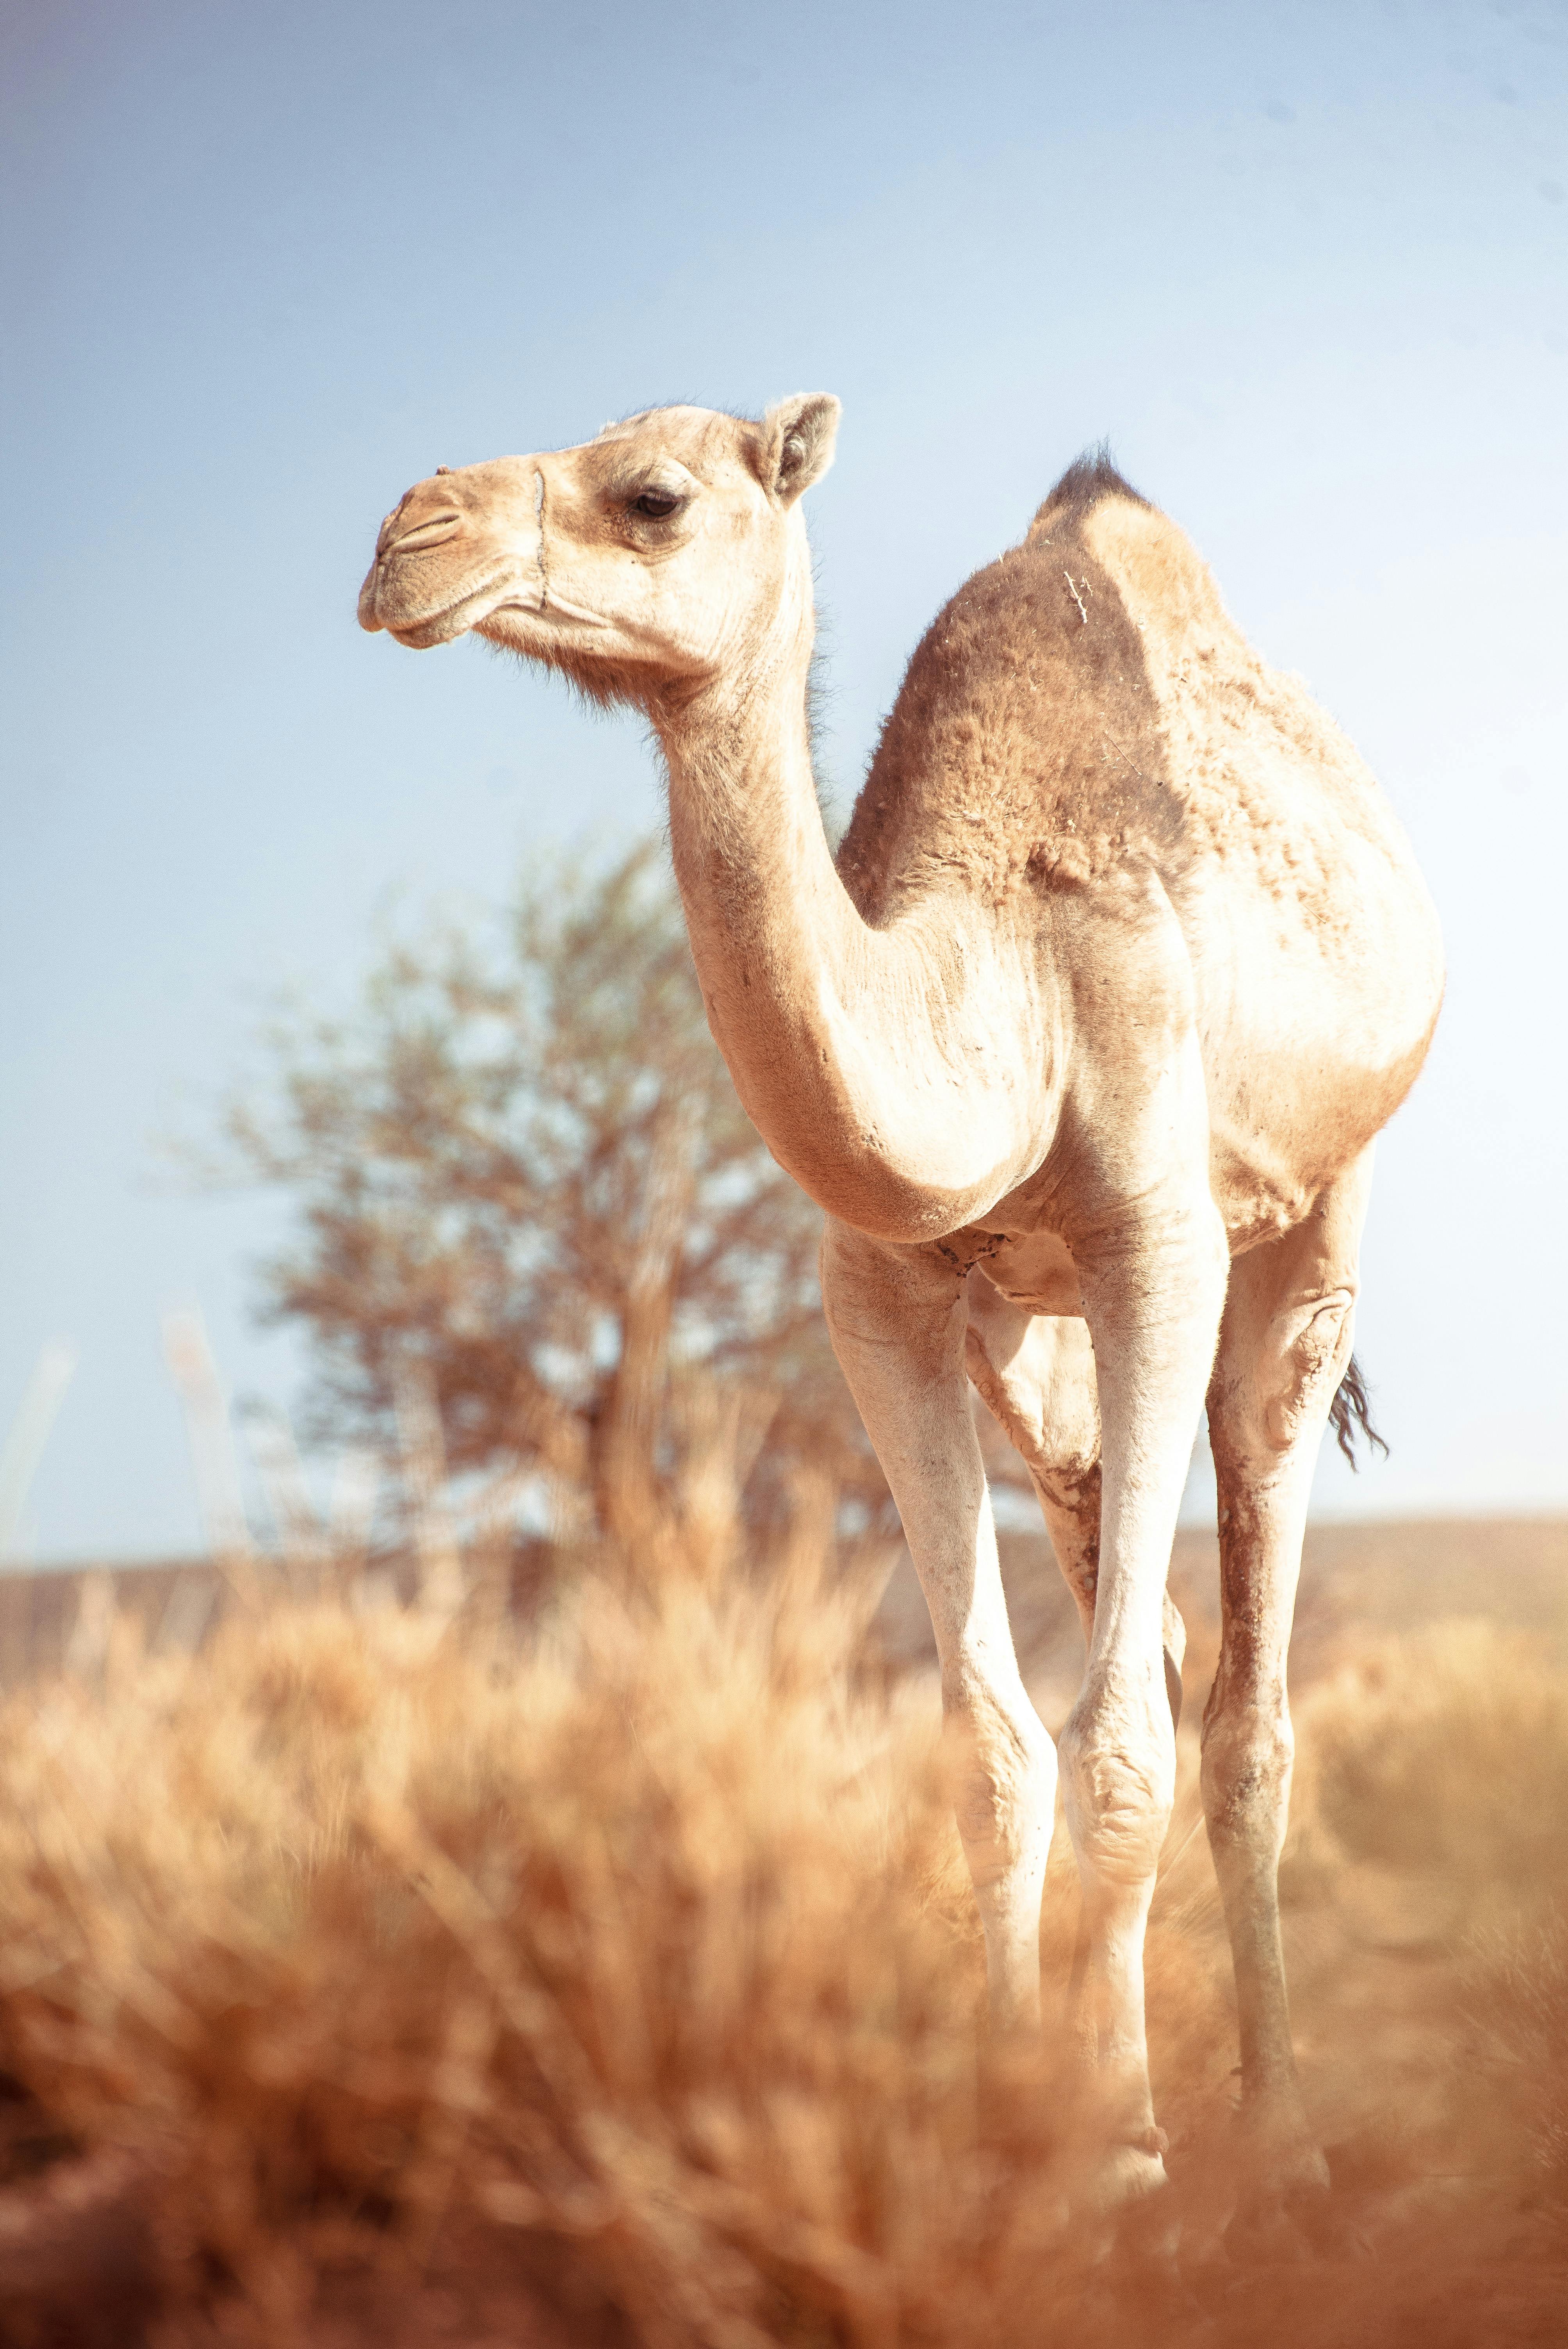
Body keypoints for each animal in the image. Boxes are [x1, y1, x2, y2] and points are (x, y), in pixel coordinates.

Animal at [357, 399, 1443, 2225]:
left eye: (651, 496)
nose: (406, 540)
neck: (1006, 987)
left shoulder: (1157, 1242)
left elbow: (1122, 1744)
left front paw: (1131, 2151)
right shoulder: (875, 1288)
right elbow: (994, 1752)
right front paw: (1021, 2137)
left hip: (1311, 1216)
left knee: (1243, 1685)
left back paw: (1278, 2124)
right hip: (1029, 1342)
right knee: (1135, 1607)